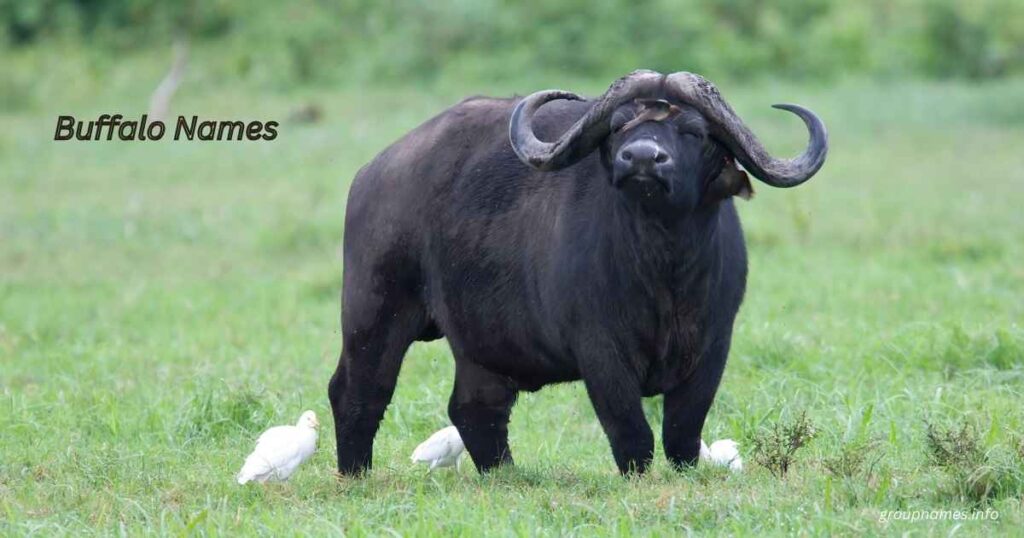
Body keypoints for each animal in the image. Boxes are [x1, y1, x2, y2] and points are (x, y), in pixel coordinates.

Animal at [329, 70, 827, 475]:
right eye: (620, 126)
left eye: (694, 131)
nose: (641, 158)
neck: (663, 273)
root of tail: (373, 173)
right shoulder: (600, 351)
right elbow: (632, 433)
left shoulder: (713, 346)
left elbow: (683, 433)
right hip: (374, 312)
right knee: (358, 391)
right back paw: (356, 474)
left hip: (478, 346)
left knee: (475, 409)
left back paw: (504, 474)